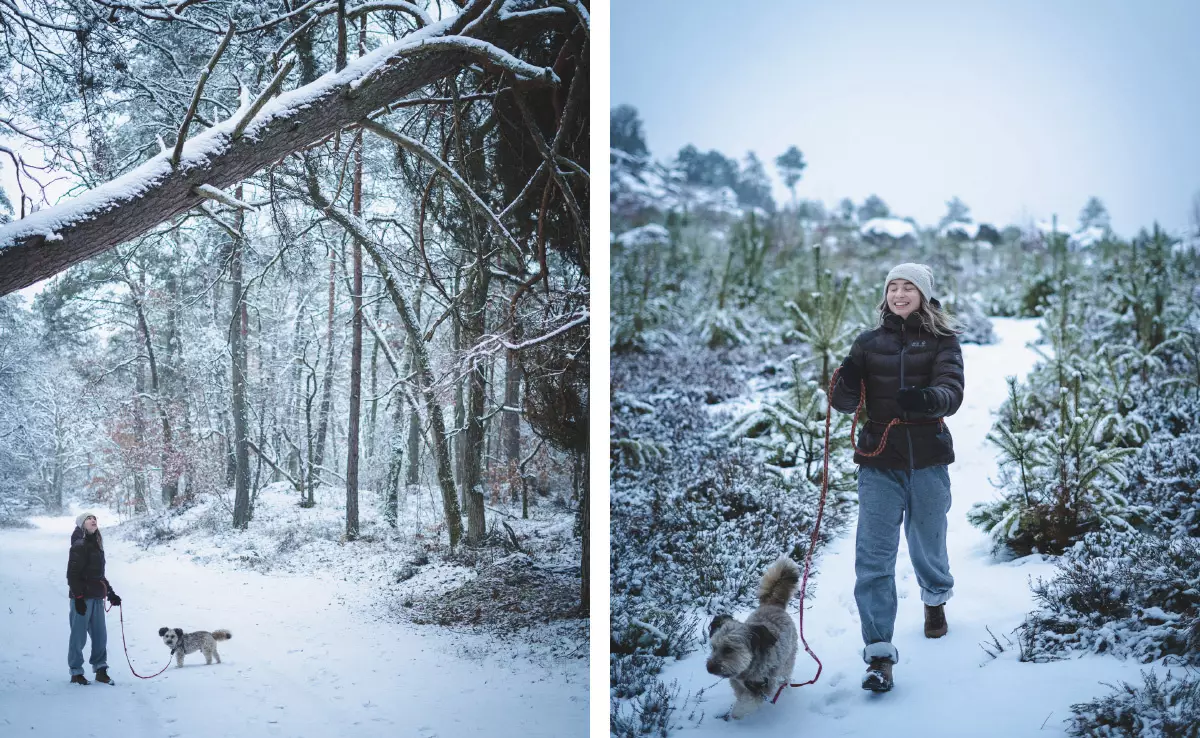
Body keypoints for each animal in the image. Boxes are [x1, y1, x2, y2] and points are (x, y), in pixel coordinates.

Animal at [705, 556, 801, 720]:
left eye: (728, 649)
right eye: (713, 647)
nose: (709, 668)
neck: (747, 669)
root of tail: (774, 605)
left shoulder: (763, 685)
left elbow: (749, 701)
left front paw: (737, 712)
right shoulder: (737, 683)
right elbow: (741, 694)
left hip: (788, 660)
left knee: (786, 677)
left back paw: (787, 689)